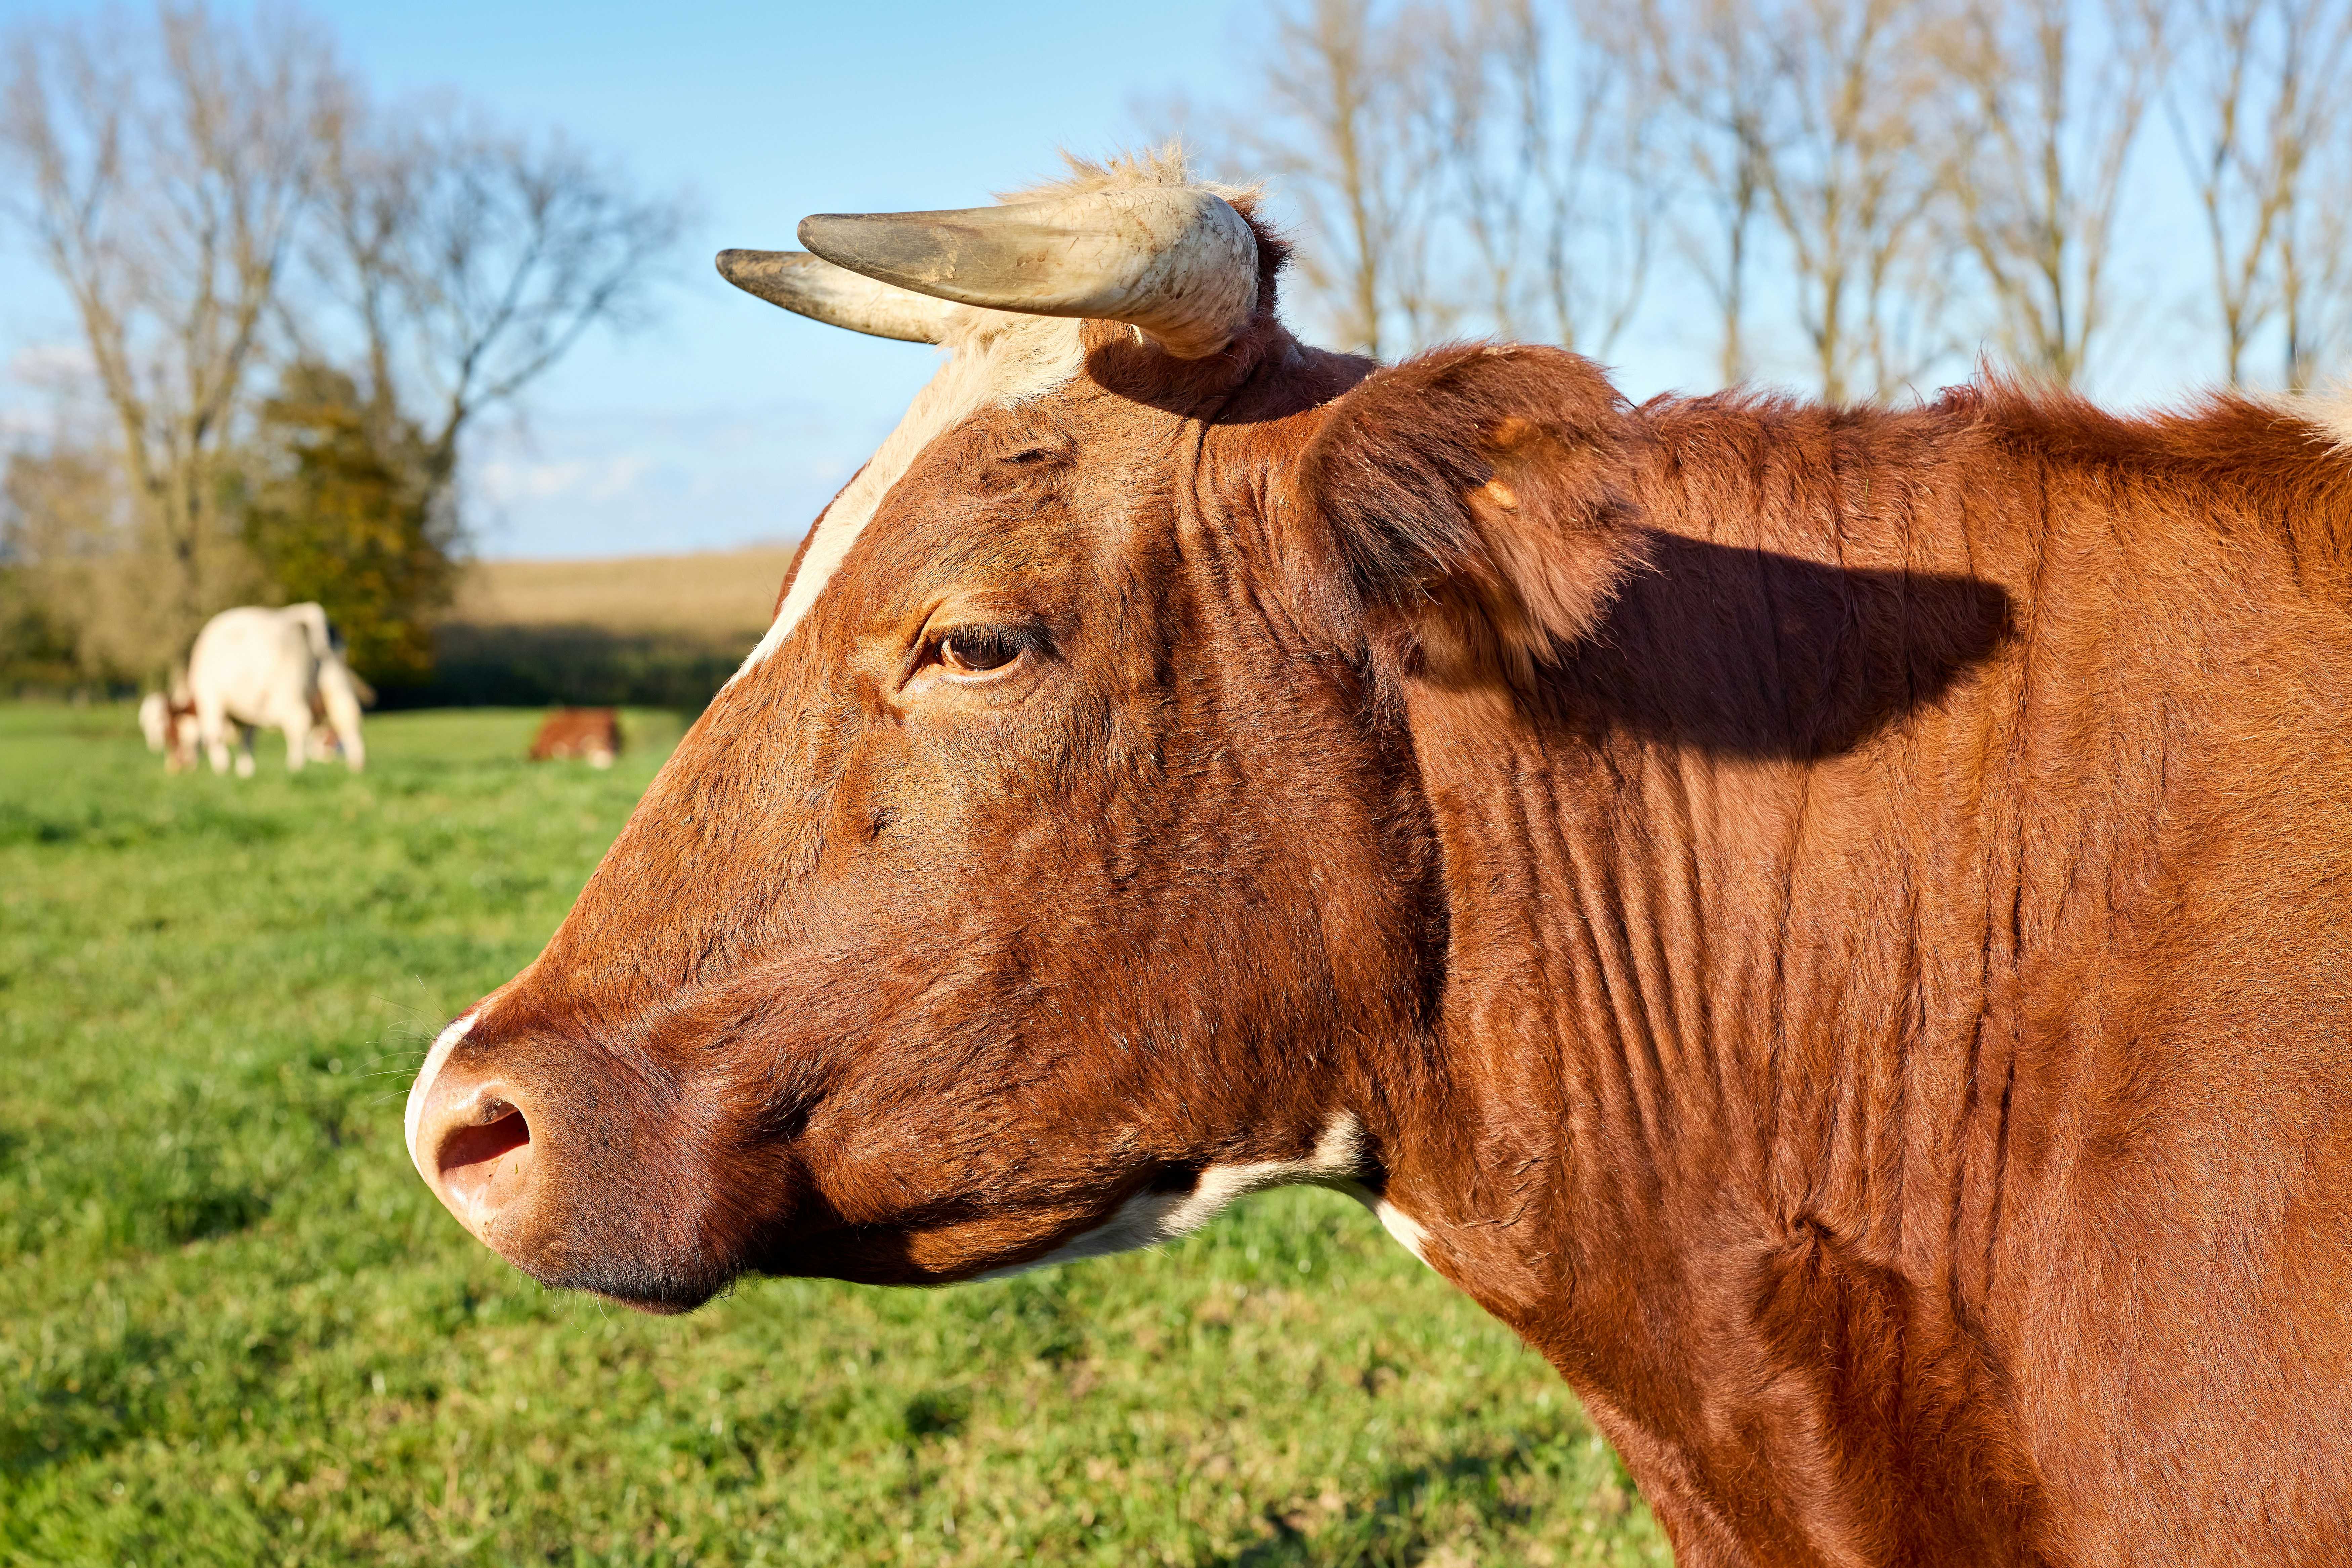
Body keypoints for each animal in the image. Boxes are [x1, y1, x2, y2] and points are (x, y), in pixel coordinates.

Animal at [187, 603, 369, 776]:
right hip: (336, 678)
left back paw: (295, 767)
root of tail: (307, 614)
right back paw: (357, 766)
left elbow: (215, 735)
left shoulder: (210, 697)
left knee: (299, 722)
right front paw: (246, 770)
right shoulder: (251, 709)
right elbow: (248, 738)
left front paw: (222, 768)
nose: (187, 766)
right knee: (347, 717)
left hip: (290, 688)